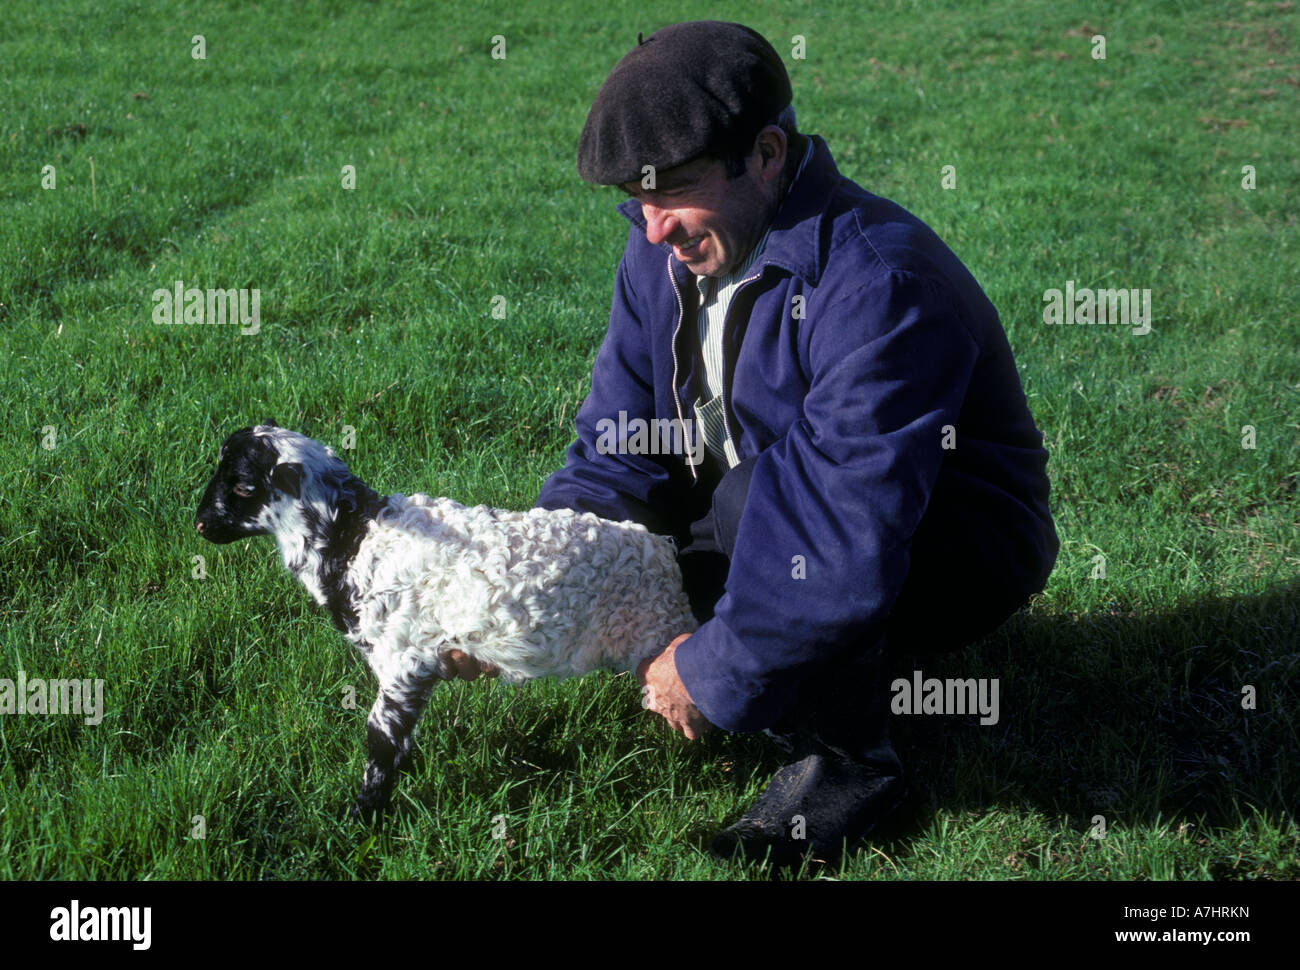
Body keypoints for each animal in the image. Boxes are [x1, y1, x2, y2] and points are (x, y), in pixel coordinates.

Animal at [194, 422, 698, 819]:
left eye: (242, 485)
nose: (199, 525)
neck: (352, 539)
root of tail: (665, 552)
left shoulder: (402, 658)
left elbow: (381, 739)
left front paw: (363, 815)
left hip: (658, 631)